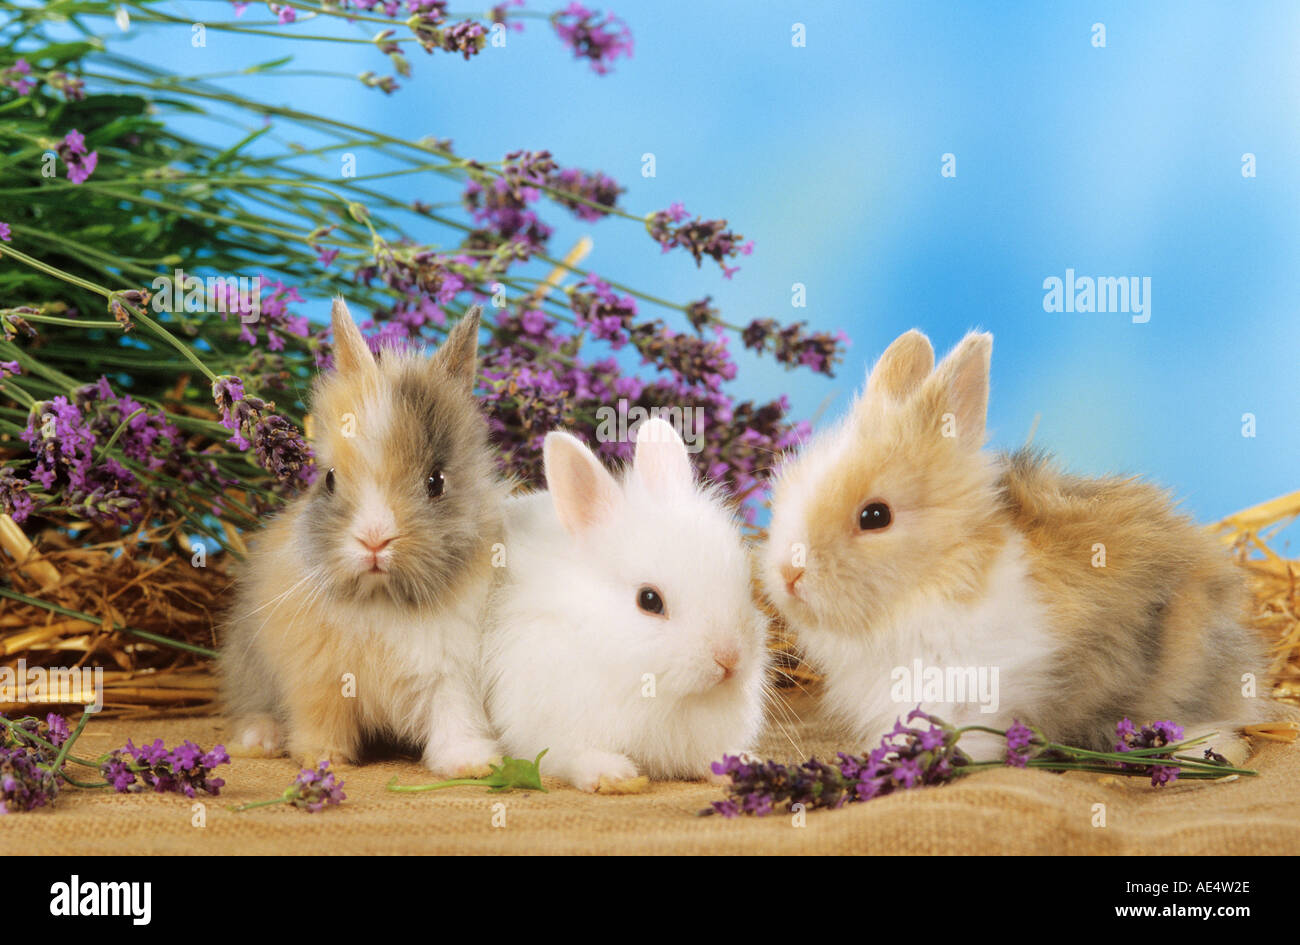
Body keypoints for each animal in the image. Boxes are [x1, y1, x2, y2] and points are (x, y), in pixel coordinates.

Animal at [219, 298, 508, 776]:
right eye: (330, 479)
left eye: (436, 482)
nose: (374, 540)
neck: (382, 598)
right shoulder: (318, 677)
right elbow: (319, 716)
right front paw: (321, 758)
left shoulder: (453, 673)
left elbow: (454, 714)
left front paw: (469, 764)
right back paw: (260, 738)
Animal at [482, 417, 770, 793]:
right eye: (649, 600)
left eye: (745, 583)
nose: (730, 659)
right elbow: (573, 755)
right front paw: (611, 774)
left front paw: (744, 765)